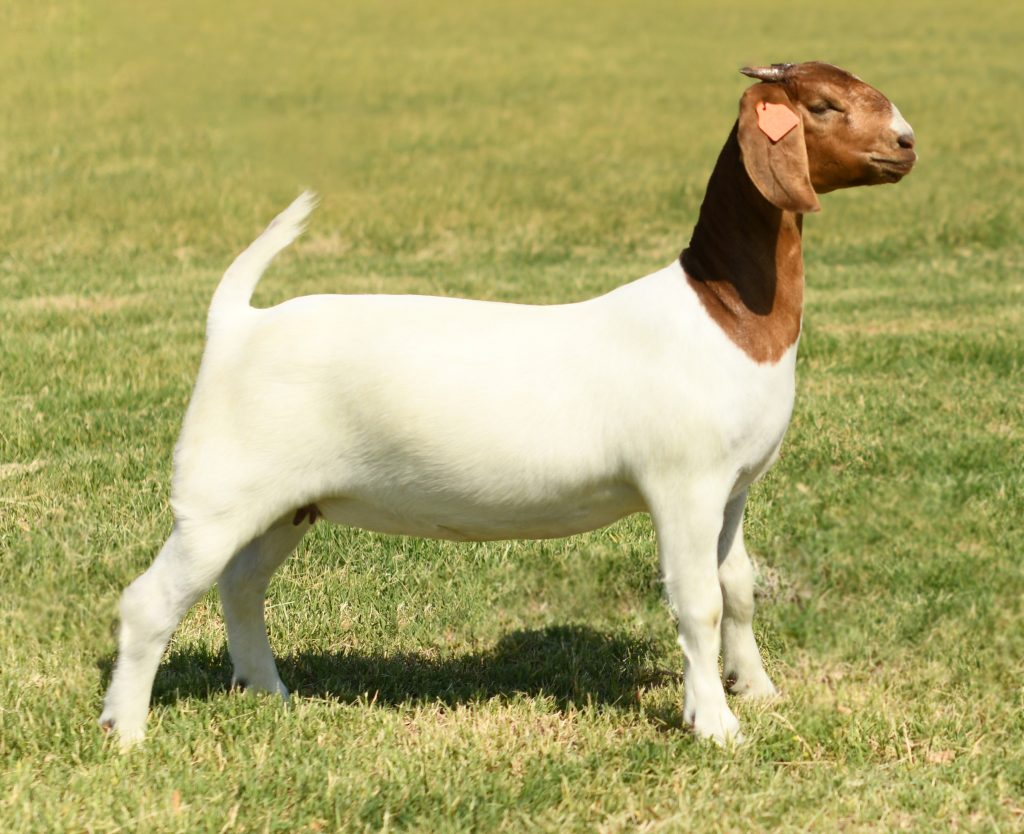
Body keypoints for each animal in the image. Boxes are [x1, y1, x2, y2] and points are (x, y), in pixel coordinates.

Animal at [100, 62, 916, 747]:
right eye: (823, 104)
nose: (907, 143)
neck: (724, 314)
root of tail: (238, 323)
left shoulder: (734, 488)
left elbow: (738, 589)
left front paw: (758, 690)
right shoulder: (684, 483)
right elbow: (698, 602)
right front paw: (714, 727)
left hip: (286, 503)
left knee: (241, 587)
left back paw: (269, 693)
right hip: (218, 492)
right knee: (150, 601)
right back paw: (127, 732)